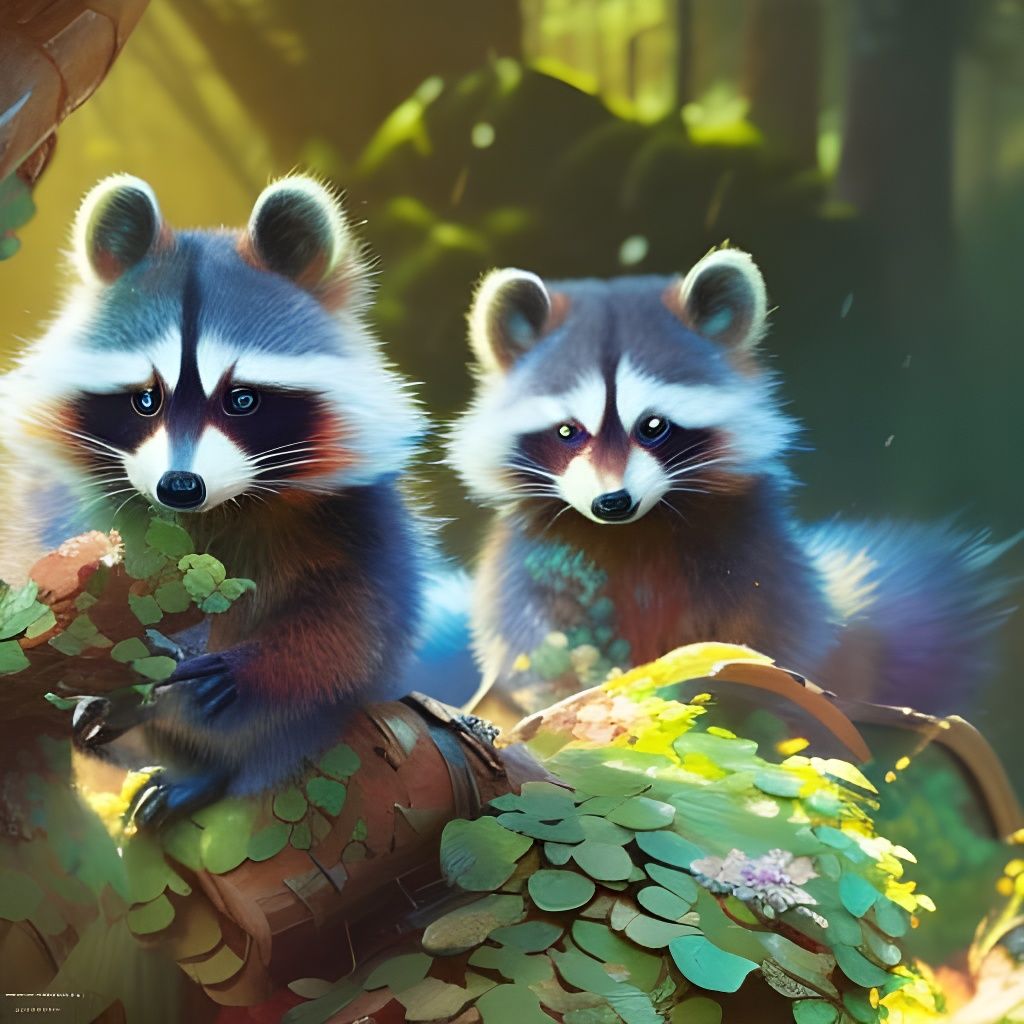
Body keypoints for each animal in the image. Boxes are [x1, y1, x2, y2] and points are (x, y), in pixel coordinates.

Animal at [448, 251, 1017, 715]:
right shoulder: (537, 558)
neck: (631, 532)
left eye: (653, 426)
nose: (613, 502)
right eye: (568, 432)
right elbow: (534, 640)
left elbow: (759, 637)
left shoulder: (750, 550)